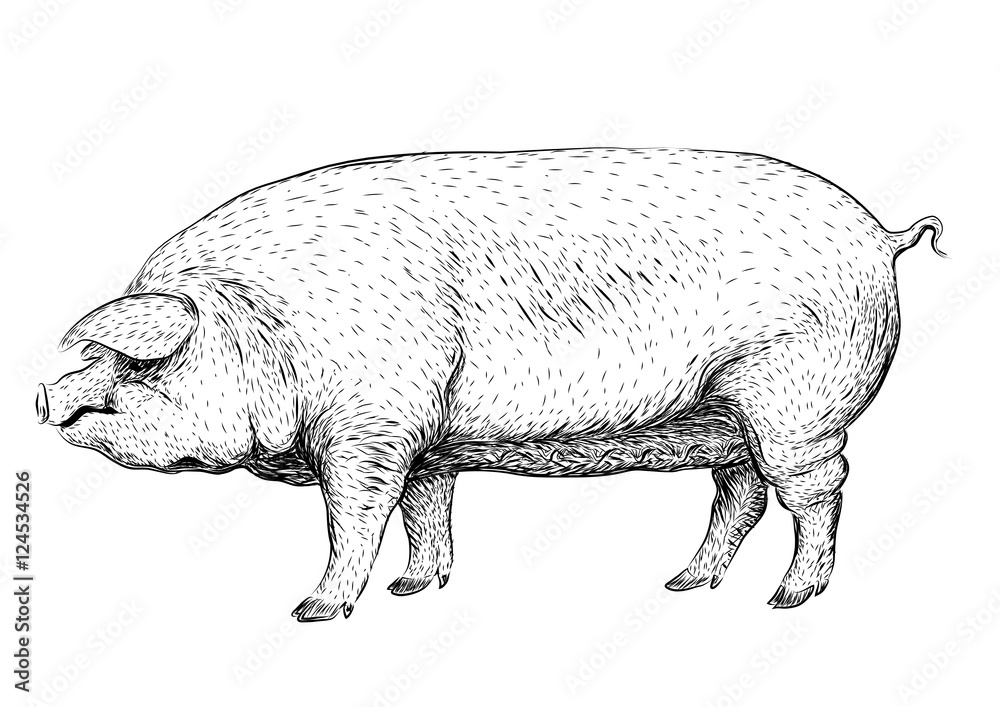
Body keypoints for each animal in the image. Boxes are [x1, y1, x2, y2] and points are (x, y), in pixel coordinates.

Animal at [36, 147, 944, 621]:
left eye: (134, 360)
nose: (43, 395)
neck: (263, 331)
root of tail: (881, 233)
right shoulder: (423, 440)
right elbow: (424, 509)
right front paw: (413, 588)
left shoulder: (368, 427)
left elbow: (354, 519)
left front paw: (314, 611)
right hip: (728, 418)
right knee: (742, 494)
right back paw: (683, 584)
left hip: (798, 401)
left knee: (817, 490)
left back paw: (788, 599)